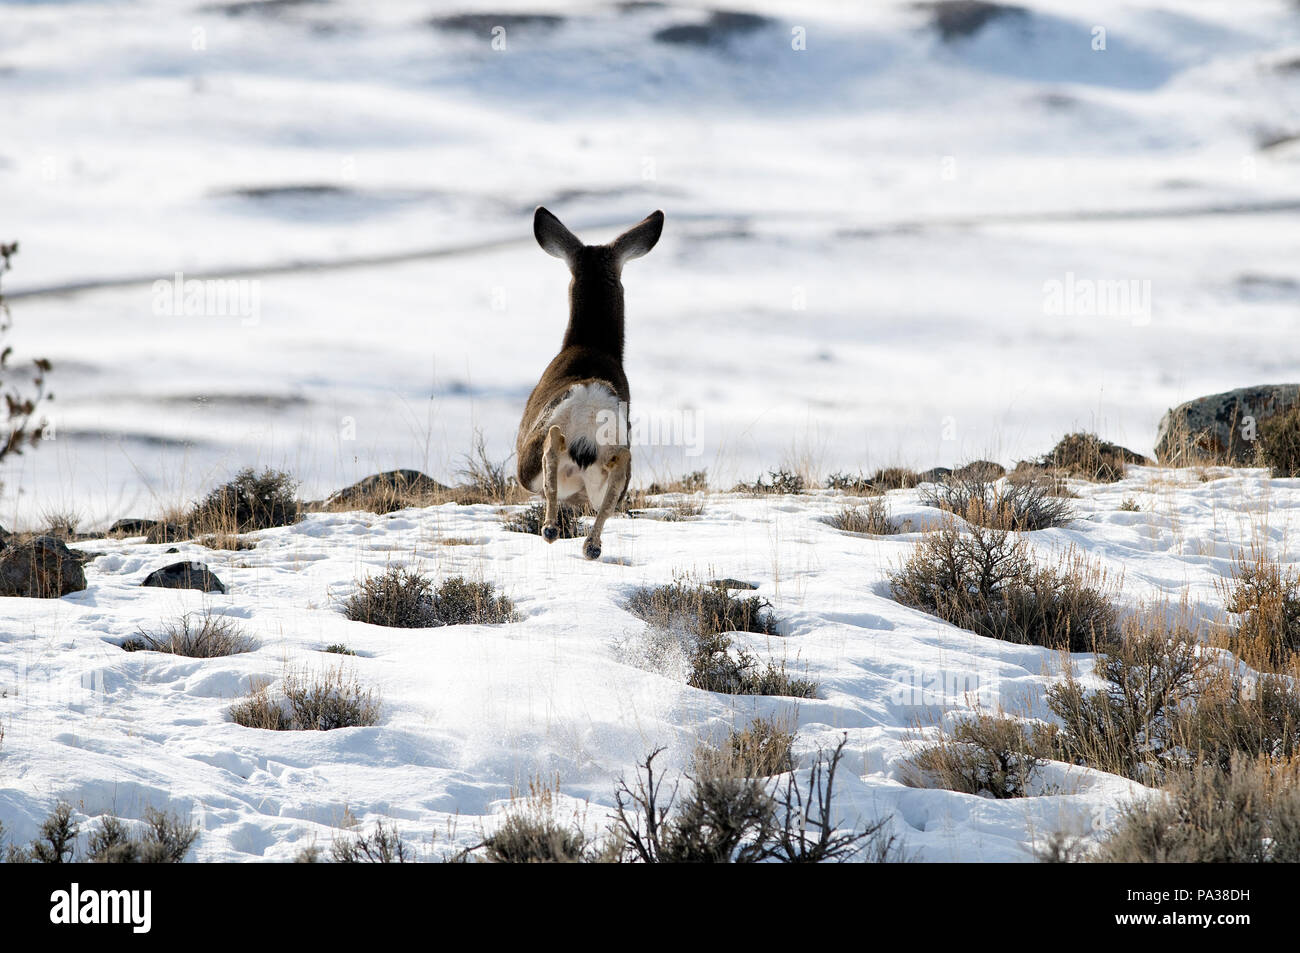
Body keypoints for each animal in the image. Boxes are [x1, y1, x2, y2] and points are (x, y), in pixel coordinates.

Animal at [516, 206, 664, 560]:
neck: (590, 347)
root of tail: (589, 406)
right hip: (602, 473)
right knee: (614, 484)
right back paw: (592, 545)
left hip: (530, 457)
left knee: (551, 456)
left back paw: (551, 529)